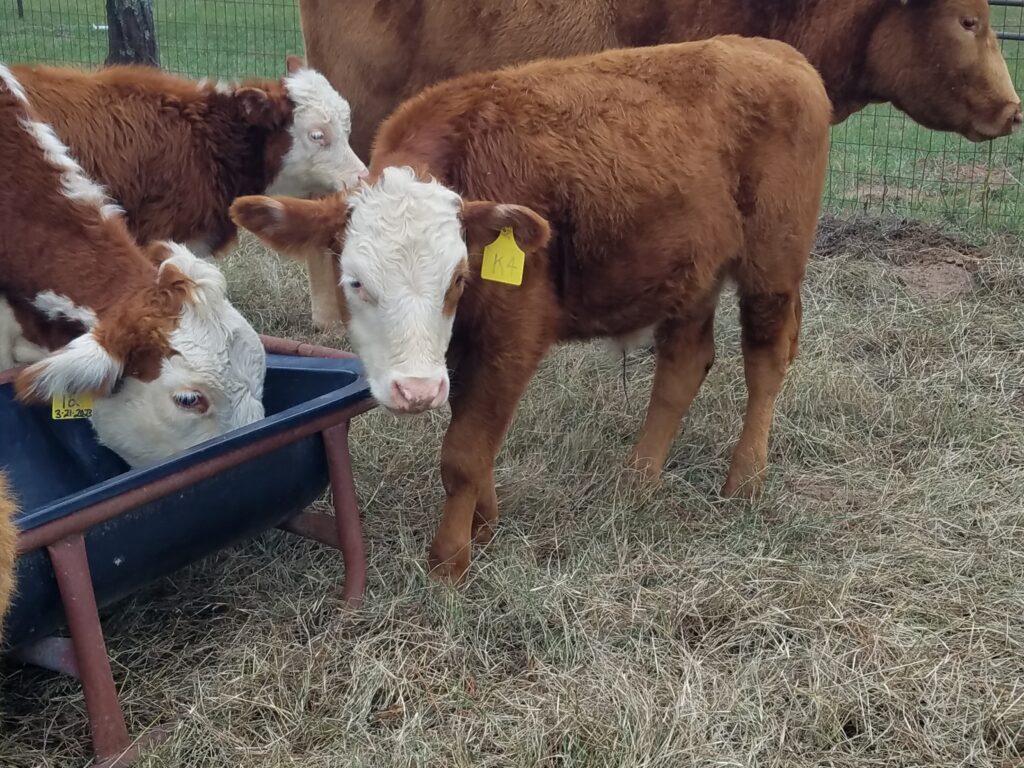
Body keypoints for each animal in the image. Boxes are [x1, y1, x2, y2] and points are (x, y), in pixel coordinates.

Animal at [232, 36, 833, 582]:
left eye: (458, 279)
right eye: (355, 282)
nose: (416, 391)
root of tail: (775, 52)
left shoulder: (512, 335)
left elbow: (464, 451)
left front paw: (449, 562)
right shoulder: (461, 349)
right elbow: (473, 434)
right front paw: (483, 524)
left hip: (773, 264)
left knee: (764, 360)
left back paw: (745, 479)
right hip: (693, 274)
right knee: (683, 364)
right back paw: (639, 479)